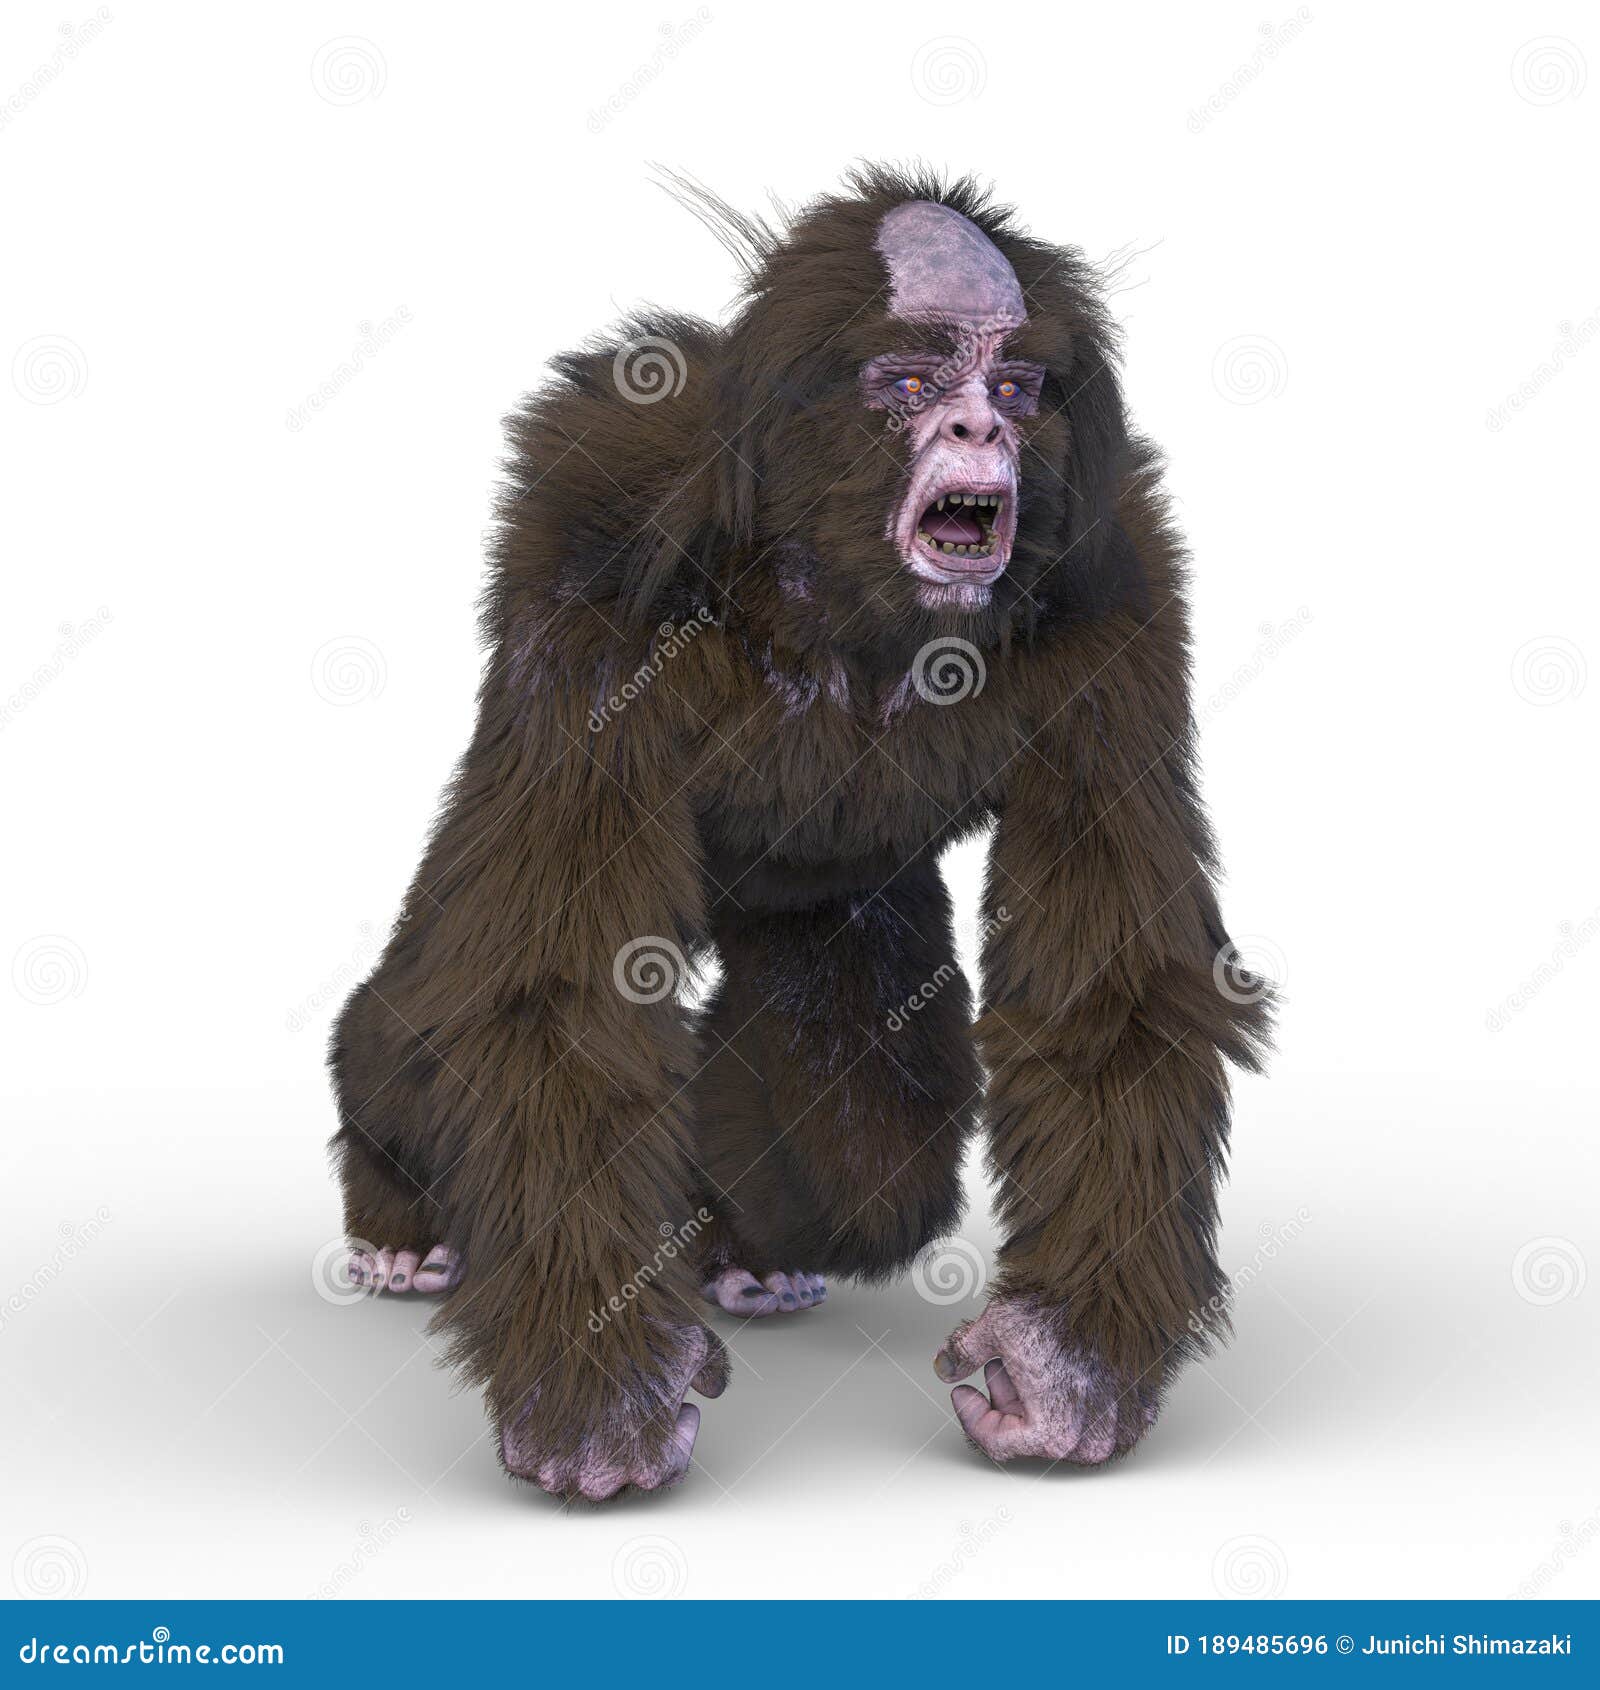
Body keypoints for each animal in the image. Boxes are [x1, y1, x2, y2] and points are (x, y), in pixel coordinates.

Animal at [327, 167, 1272, 1501]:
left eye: (1016, 387)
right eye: (913, 382)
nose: (981, 434)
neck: (840, 592)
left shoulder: (1120, 603)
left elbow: (1110, 990)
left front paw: (1061, 1365)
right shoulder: (591, 559)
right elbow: (553, 991)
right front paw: (601, 1388)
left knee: (871, 1136)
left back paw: (743, 1241)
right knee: (432, 1006)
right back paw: (398, 1213)